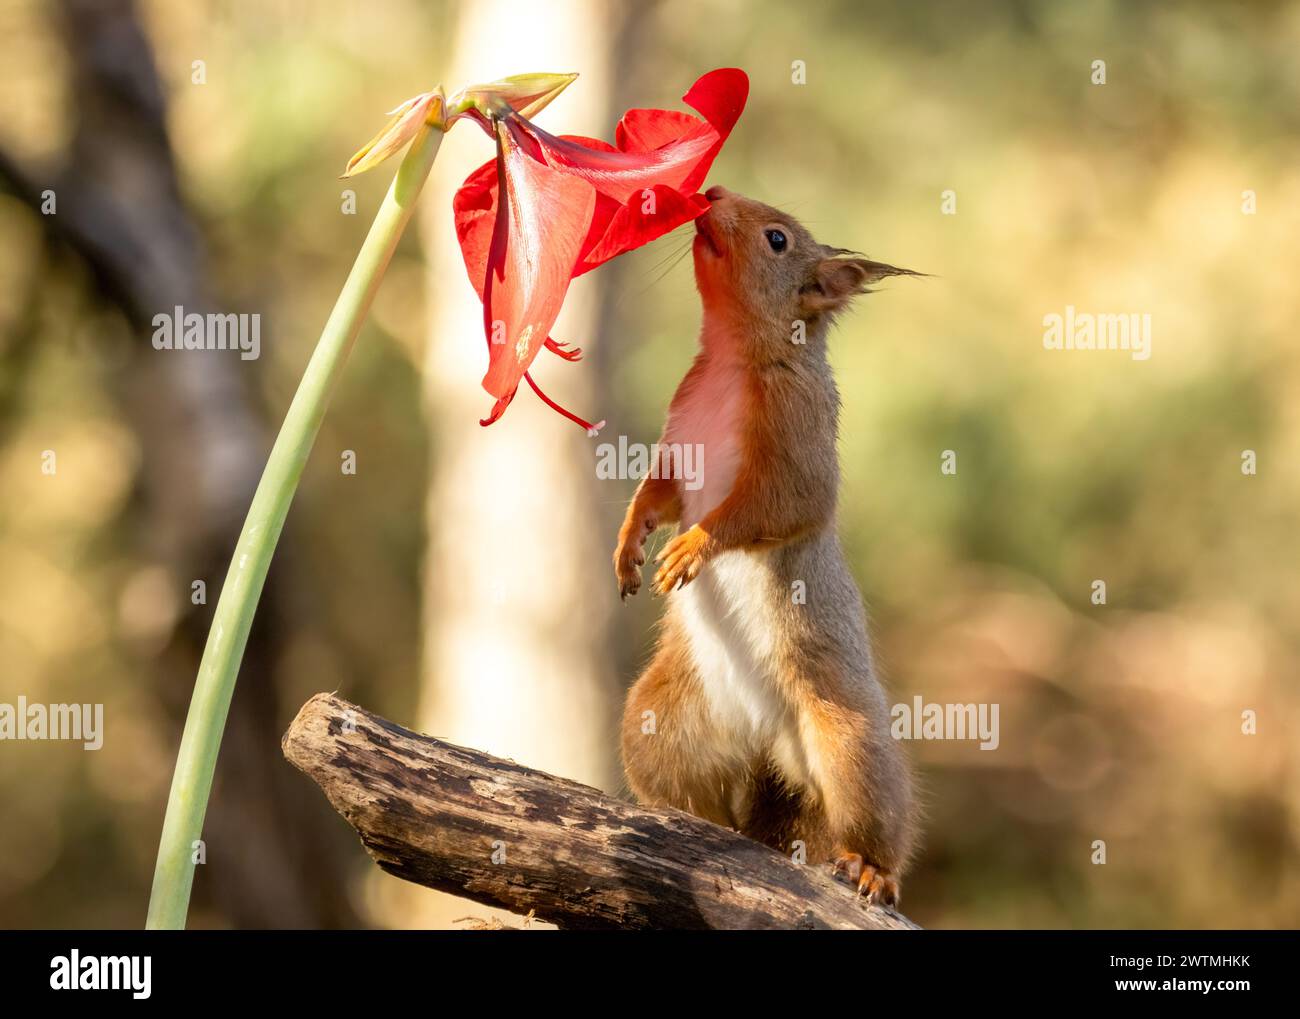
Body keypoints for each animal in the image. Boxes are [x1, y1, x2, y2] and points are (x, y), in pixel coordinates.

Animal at [613, 186, 920, 906]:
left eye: (778, 240)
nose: (714, 191)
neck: (730, 359)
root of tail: (765, 752)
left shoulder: (795, 435)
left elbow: (778, 505)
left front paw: (694, 546)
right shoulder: (679, 440)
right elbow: (656, 494)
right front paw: (629, 541)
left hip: (847, 741)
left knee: (872, 817)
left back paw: (873, 869)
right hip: (657, 720)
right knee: (700, 797)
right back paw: (687, 822)